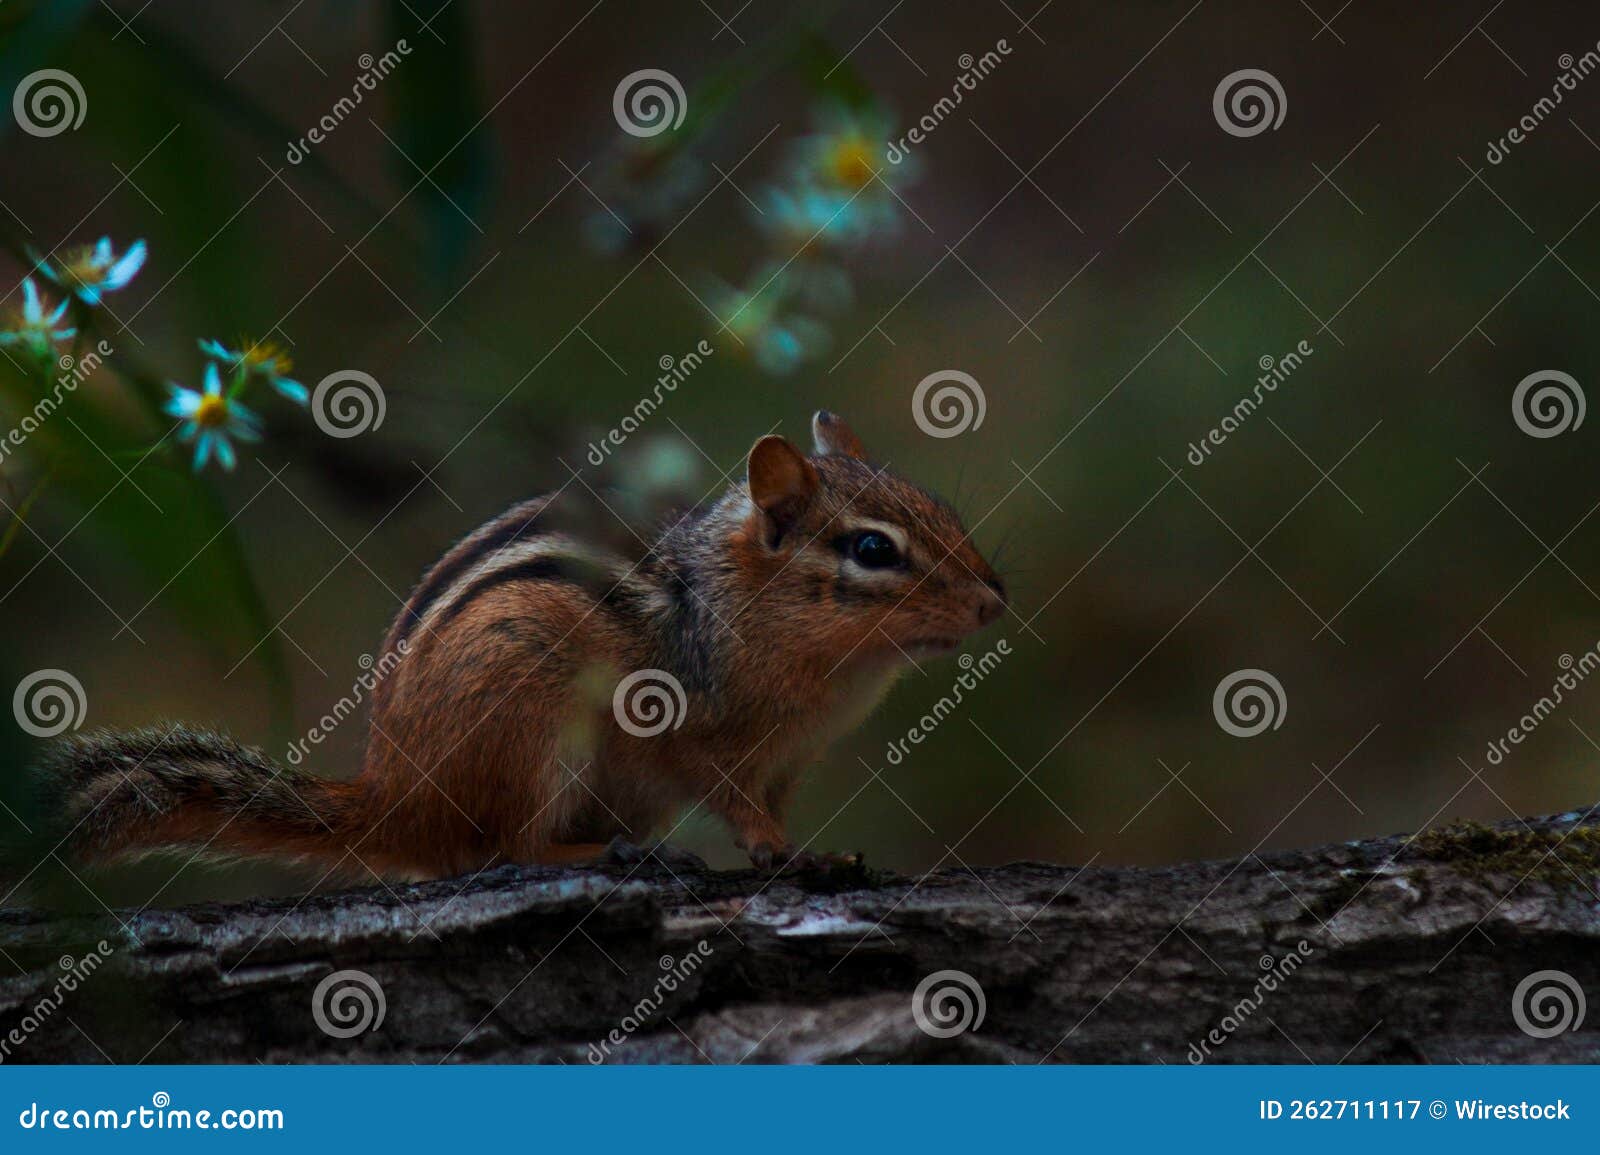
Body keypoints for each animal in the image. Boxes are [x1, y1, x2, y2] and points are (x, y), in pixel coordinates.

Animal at [39, 411, 1006, 879]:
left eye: (944, 511)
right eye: (873, 549)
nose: (995, 602)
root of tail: (393, 795)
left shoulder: (787, 759)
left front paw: (822, 850)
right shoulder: (704, 739)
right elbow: (739, 809)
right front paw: (785, 853)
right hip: (532, 713)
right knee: (495, 849)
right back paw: (602, 853)